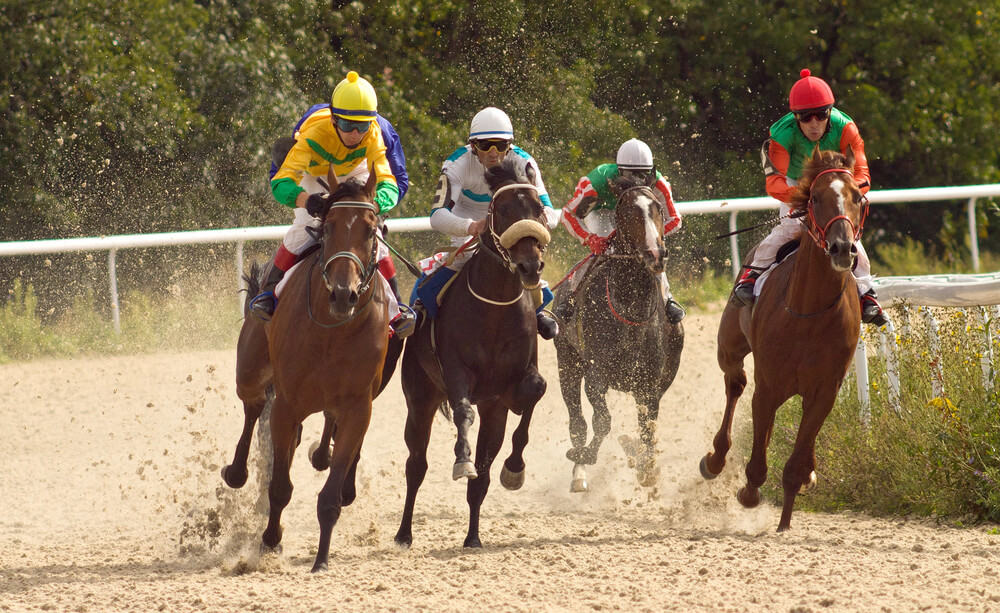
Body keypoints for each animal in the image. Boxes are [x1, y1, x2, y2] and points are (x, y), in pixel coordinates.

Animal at [221, 169, 390, 571]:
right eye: (327, 226)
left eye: (370, 230)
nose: (343, 293)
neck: (333, 329)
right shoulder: (287, 403)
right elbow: (280, 486)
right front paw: (270, 541)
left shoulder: (358, 406)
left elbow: (330, 494)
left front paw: (322, 559)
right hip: (250, 370)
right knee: (253, 407)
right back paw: (236, 472)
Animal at [394, 156, 550, 549]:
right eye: (502, 209)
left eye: (539, 208)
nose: (530, 266)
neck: (494, 308)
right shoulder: (456, 372)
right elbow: (464, 411)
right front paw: (461, 458)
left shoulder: (503, 394)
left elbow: (534, 391)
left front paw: (514, 469)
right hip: (420, 398)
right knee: (415, 466)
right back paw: (404, 533)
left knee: (482, 478)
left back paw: (473, 537)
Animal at [551, 178, 684, 492]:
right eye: (626, 211)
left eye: (658, 207)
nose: (655, 254)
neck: (630, 313)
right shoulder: (595, 376)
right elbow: (602, 421)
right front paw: (585, 455)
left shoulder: (649, 384)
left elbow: (647, 427)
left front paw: (646, 466)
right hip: (567, 362)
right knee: (577, 420)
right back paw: (579, 473)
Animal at [699, 147, 867, 531]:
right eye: (815, 197)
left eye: (857, 196)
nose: (842, 249)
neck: (810, 313)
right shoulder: (768, 386)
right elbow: (758, 459)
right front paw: (749, 493)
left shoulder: (825, 390)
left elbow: (796, 457)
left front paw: (786, 519)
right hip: (729, 347)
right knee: (735, 384)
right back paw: (715, 459)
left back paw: (808, 473)